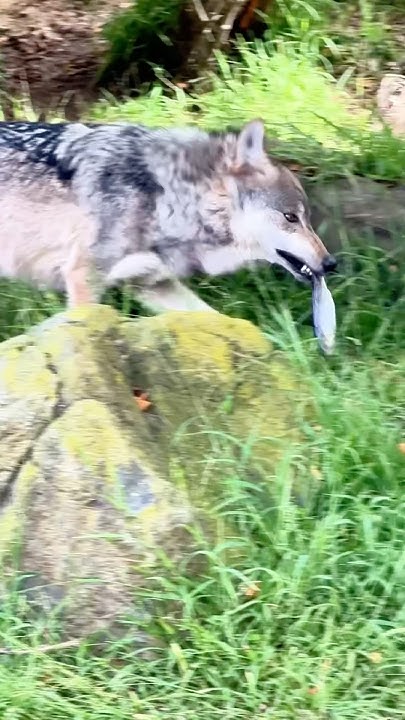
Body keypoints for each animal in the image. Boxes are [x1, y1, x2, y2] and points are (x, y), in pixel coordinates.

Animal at [0, 118, 336, 313]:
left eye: (306, 218)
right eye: (290, 217)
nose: (332, 263)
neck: (165, 197)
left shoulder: (149, 283)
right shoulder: (84, 277)